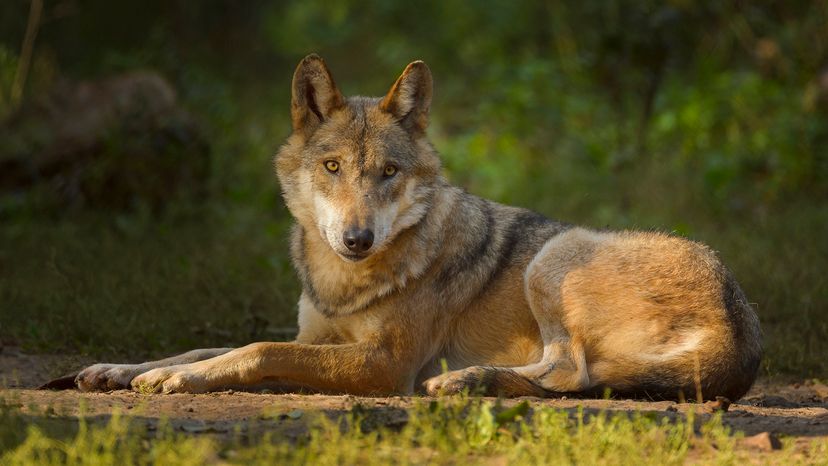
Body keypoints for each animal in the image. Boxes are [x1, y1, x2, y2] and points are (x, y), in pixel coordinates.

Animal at [73, 53, 764, 396]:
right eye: (332, 167)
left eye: (388, 172)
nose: (357, 239)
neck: (343, 282)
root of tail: (742, 327)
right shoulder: (318, 335)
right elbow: (210, 347)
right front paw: (125, 369)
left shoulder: (384, 363)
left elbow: (260, 350)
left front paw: (174, 378)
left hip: (556, 256)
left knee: (571, 375)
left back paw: (464, 380)